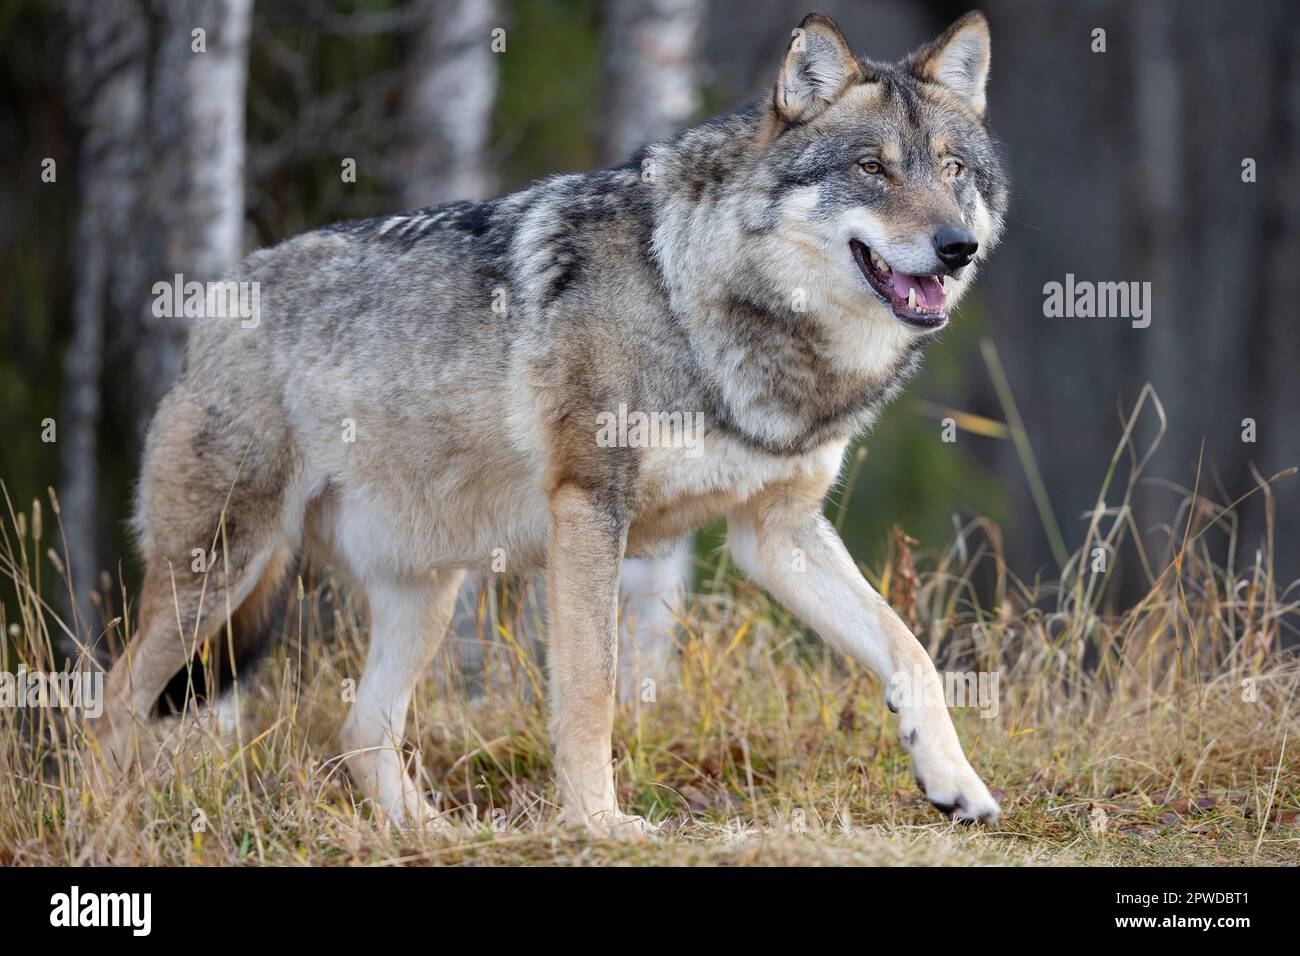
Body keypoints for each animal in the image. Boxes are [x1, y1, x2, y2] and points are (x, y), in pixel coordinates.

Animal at [91, 11, 1007, 832]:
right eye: (872, 167)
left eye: (954, 169)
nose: (956, 246)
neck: (702, 297)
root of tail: (217, 296)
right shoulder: (589, 507)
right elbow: (592, 689)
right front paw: (600, 825)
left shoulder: (776, 532)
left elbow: (911, 650)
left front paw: (955, 784)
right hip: (218, 569)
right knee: (109, 703)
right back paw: (113, 819)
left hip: (423, 591)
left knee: (361, 729)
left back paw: (436, 836)